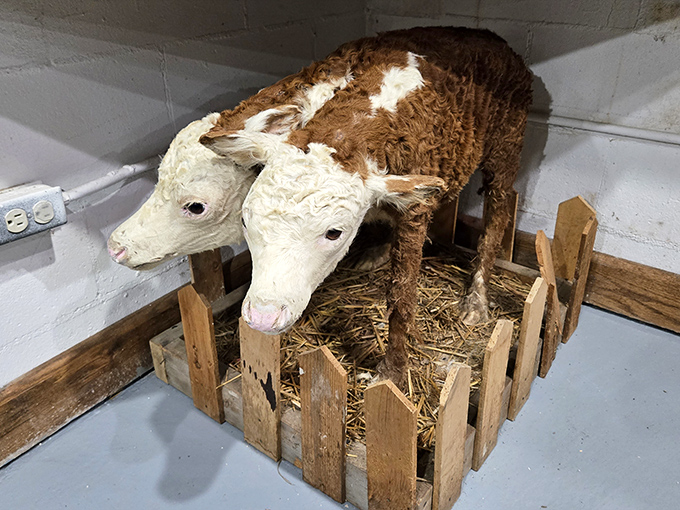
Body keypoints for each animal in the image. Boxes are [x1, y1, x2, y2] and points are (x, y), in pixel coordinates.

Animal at [200, 26, 533, 383]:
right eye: (245, 221)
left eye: (334, 233)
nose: (263, 318)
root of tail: (490, 36)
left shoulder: (415, 212)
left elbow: (401, 295)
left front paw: (392, 372)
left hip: (507, 143)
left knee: (498, 210)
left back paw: (476, 300)